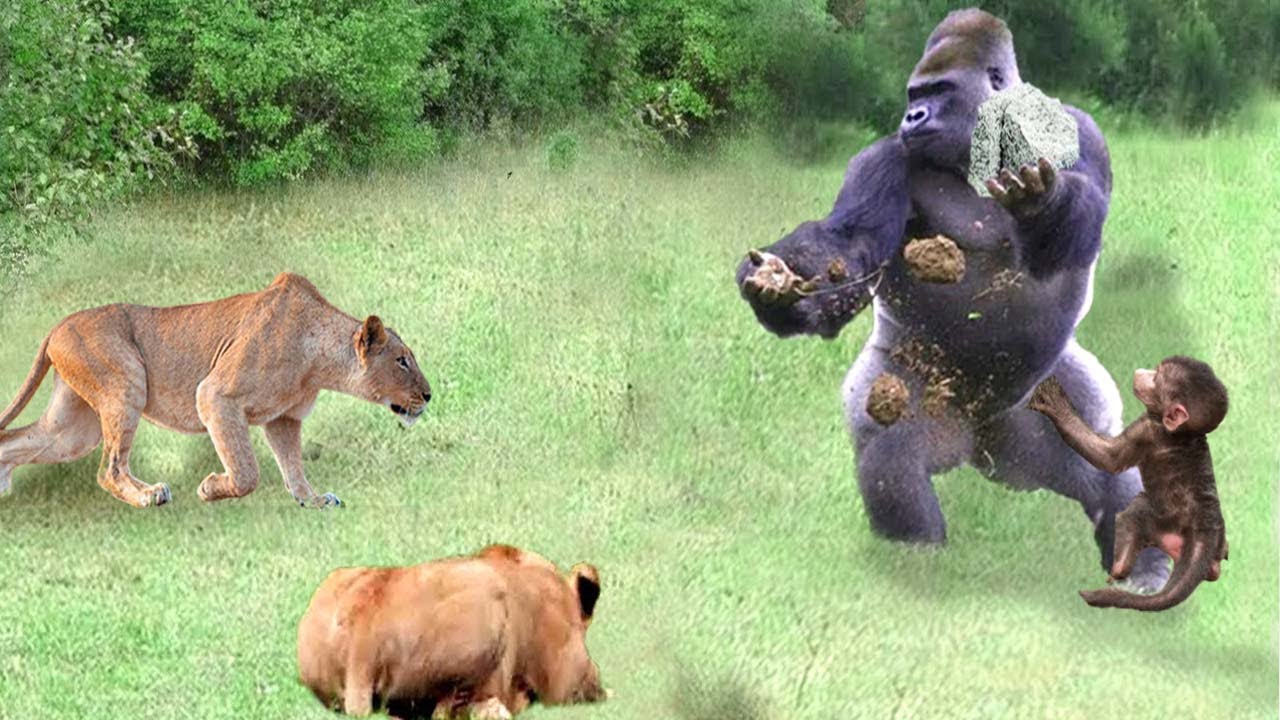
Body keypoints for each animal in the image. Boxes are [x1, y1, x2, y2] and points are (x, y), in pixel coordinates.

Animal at [733, 8, 1169, 588]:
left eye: (940, 90)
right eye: (916, 93)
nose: (913, 115)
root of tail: (978, 439)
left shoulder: (1081, 129)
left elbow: (1080, 222)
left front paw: (1042, 202)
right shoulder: (883, 159)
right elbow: (849, 244)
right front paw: (781, 292)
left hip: (1040, 411)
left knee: (1102, 462)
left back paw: (1144, 564)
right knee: (891, 454)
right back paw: (917, 563)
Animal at [1029, 356, 1229, 610]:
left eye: (1156, 378)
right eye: (1156, 370)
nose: (1142, 372)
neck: (1185, 435)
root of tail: (1205, 529)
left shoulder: (1146, 430)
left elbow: (1109, 458)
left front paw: (1057, 405)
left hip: (1160, 518)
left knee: (1133, 513)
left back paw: (1120, 568)